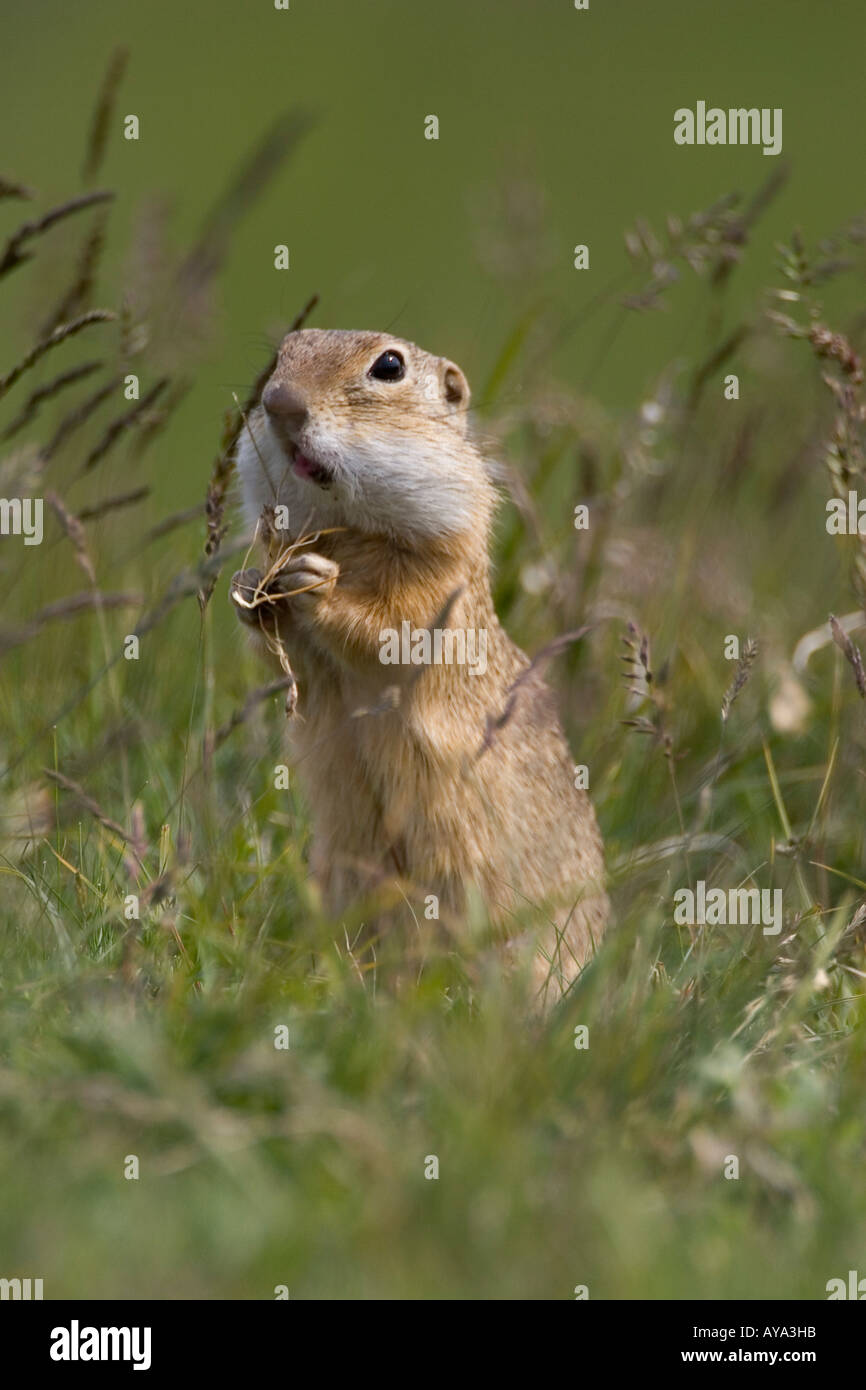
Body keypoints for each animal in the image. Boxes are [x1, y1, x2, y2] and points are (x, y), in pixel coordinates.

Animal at [230, 328, 608, 1005]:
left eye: (389, 366)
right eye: (283, 353)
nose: (279, 403)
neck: (348, 531)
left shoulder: (435, 587)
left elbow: (389, 634)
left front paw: (314, 583)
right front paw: (253, 587)